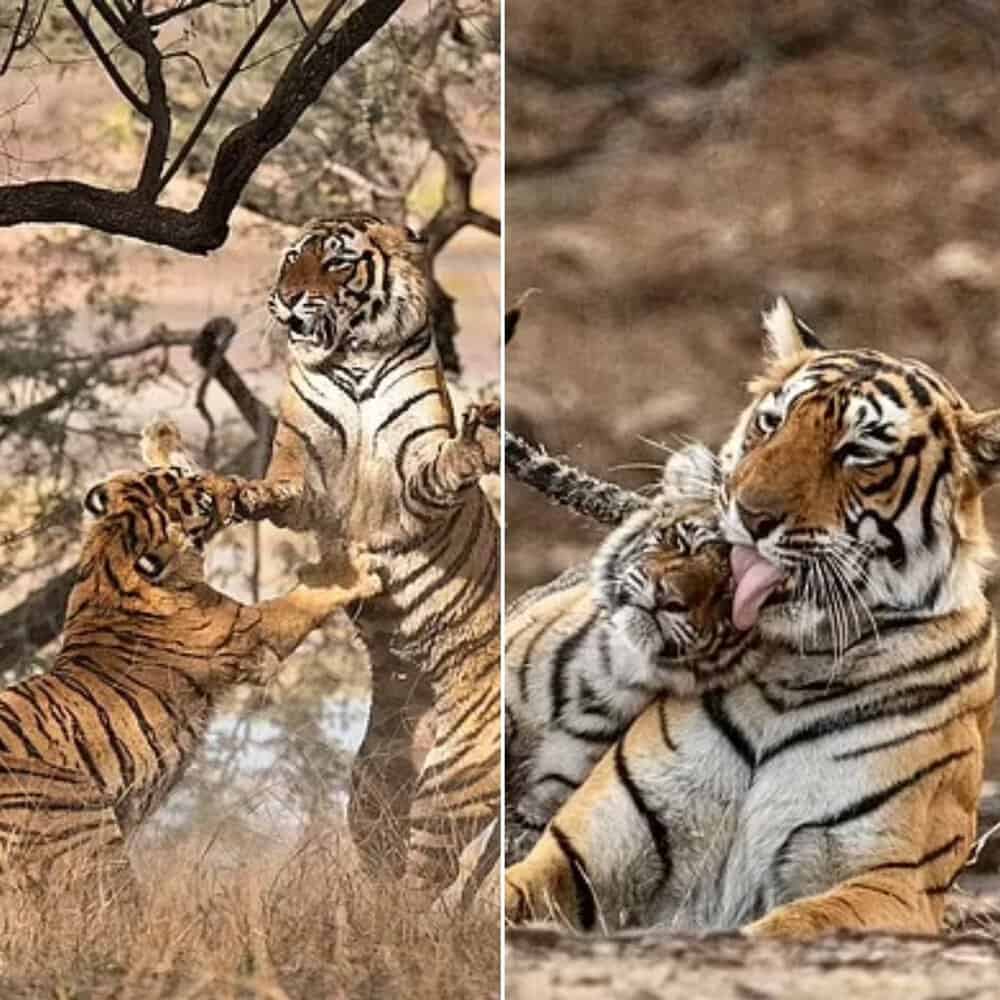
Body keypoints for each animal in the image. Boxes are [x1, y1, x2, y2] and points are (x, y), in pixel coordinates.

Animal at [0, 467, 378, 896]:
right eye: (205, 506)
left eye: (187, 472)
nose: (236, 486)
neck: (110, 557)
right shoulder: (252, 633)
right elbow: (302, 600)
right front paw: (355, 565)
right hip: (85, 827)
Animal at [232, 213, 500, 893]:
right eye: (292, 259)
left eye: (337, 263)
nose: (289, 300)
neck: (352, 361)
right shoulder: (304, 474)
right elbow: (282, 490)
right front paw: (245, 494)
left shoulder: (413, 474)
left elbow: (441, 469)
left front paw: (476, 442)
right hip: (375, 778)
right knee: (385, 863)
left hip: (454, 776)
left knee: (422, 882)